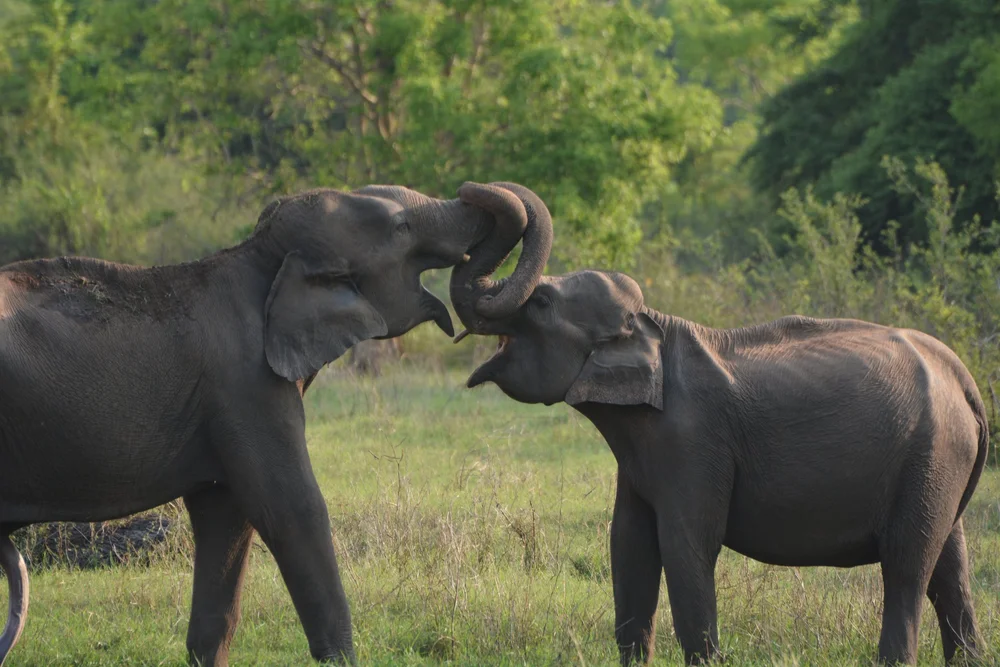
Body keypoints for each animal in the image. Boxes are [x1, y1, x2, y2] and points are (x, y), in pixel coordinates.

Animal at [0, 180, 553, 666]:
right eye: (401, 227)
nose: (470, 187)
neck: (260, 258)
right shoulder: (247, 388)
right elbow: (290, 508)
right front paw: (343, 659)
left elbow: (226, 517)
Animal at [450, 187, 988, 665]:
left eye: (541, 302)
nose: (467, 192)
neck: (651, 326)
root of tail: (964, 378)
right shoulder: (642, 451)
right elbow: (628, 546)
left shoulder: (691, 441)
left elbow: (686, 546)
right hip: (940, 466)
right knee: (950, 566)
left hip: (929, 454)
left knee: (907, 566)